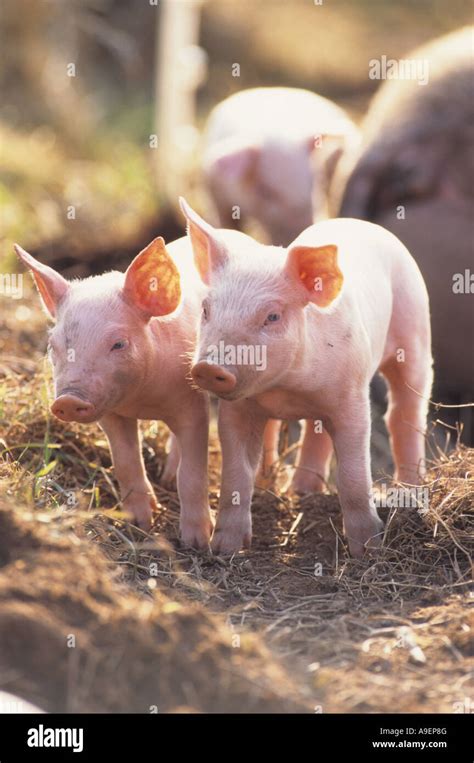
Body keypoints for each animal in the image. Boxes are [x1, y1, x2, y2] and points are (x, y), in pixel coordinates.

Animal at [14, 237, 212, 548]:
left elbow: (192, 473)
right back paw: (165, 480)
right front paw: (140, 524)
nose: (68, 399)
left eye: (118, 344)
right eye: (52, 345)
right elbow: (126, 462)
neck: (142, 400)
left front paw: (197, 543)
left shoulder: (193, 405)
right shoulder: (111, 414)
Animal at [180, 198, 433, 558]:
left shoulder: (352, 397)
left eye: (272, 316)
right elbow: (236, 475)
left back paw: (411, 486)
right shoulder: (238, 409)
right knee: (313, 430)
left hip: (415, 330)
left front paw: (367, 549)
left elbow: (354, 475)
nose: (209, 368)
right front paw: (224, 549)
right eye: (206, 309)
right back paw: (300, 489)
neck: (289, 389)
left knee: (404, 412)